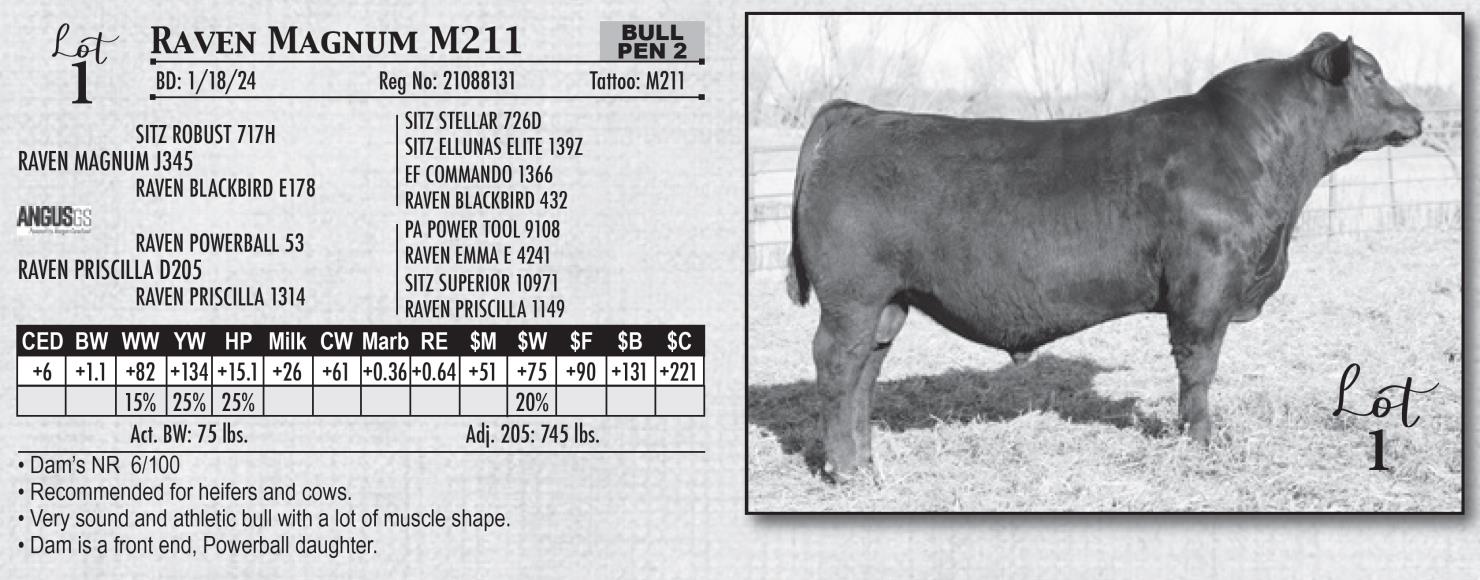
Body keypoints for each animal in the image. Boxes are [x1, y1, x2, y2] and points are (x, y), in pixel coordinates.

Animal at [785, 33, 1424, 483]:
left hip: (889, 301)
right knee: (837, 365)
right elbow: (1198, 368)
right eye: (1371, 73)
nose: (1417, 115)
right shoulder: (1205, 288)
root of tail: (860, 113)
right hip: (852, 297)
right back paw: (845, 471)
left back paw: (866, 463)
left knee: (866, 371)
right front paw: (1201, 441)